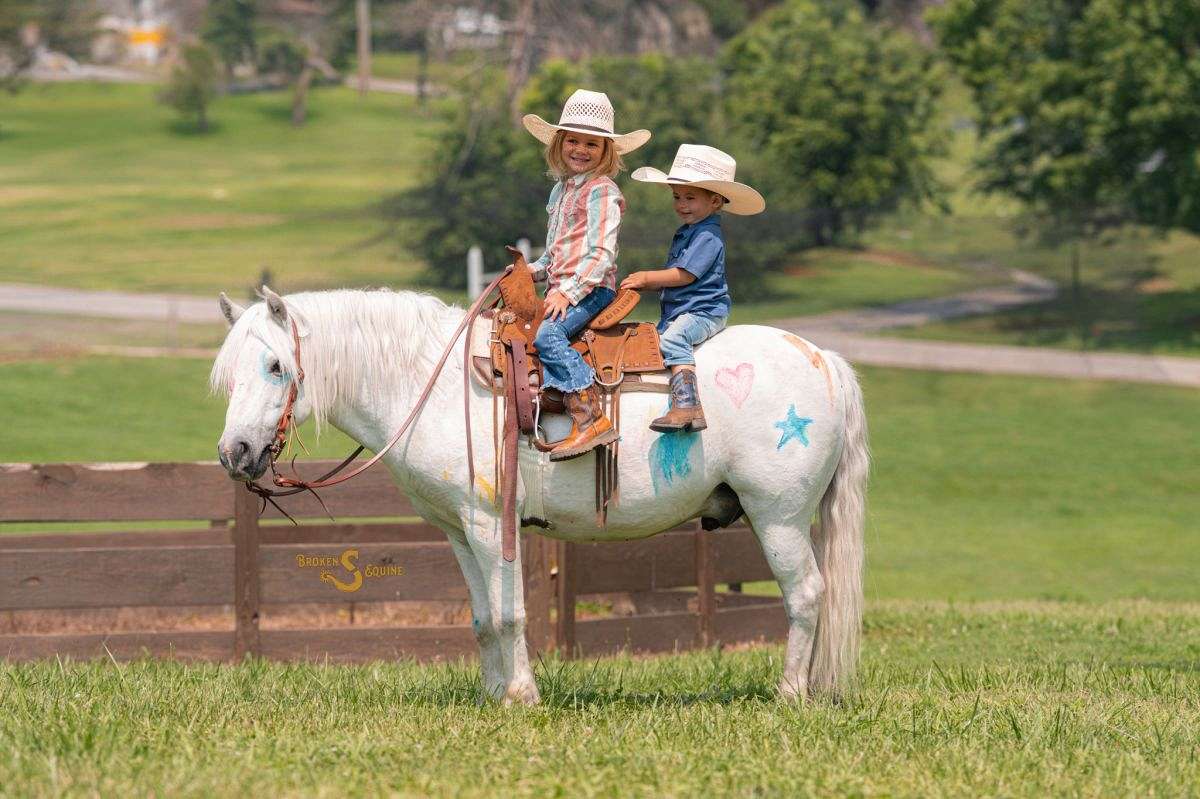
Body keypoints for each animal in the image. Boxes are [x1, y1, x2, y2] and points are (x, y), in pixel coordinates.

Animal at [211, 286, 869, 704]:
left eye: (275, 365)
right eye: (229, 373)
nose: (234, 453)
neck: (435, 383)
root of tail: (823, 358)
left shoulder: (489, 524)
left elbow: (510, 613)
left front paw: (522, 697)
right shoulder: (458, 531)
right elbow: (482, 618)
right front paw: (492, 696)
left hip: (778, 516)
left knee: (806, 595)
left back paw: (790, 695)